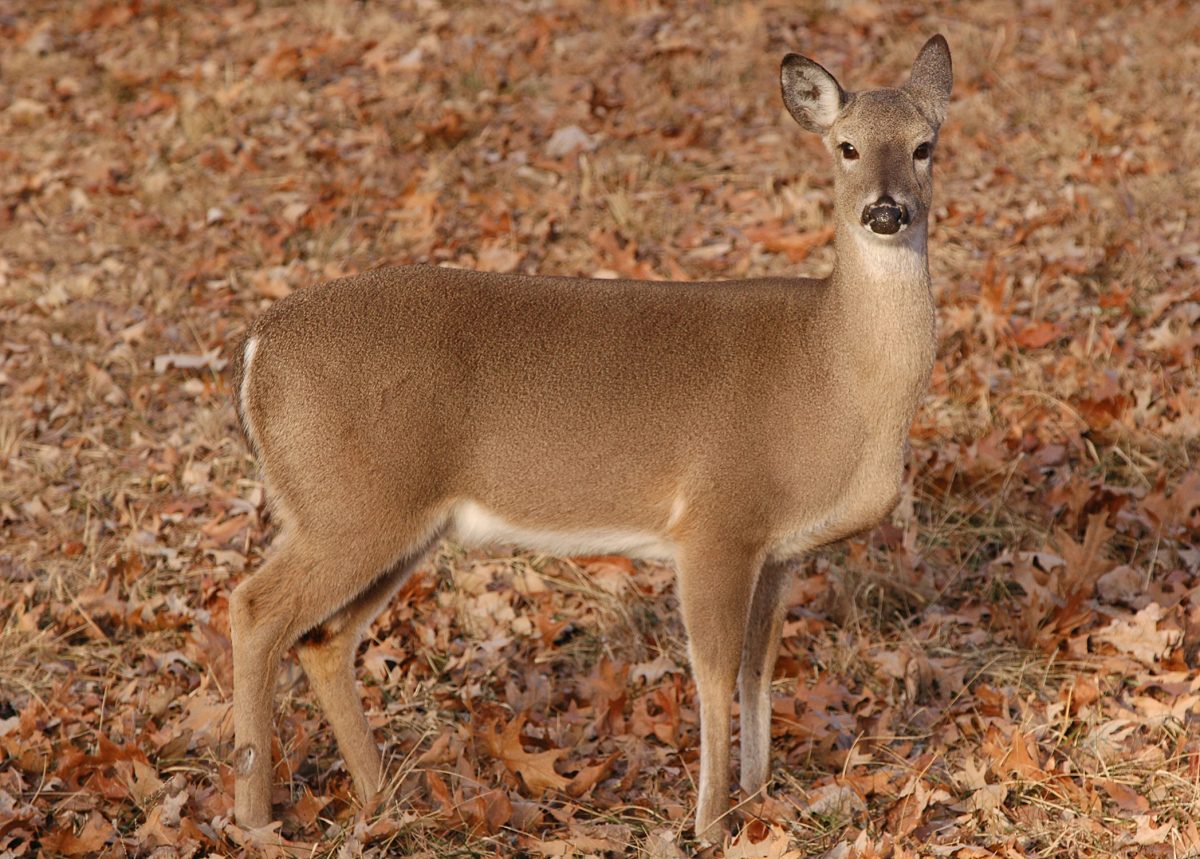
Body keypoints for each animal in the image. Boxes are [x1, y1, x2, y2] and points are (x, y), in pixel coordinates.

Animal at [228, 35, 952, 840]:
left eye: (924, 145)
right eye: (846, 146)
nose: (886, 210)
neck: (832, 373)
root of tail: (257, 347)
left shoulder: (780, 547)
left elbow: (758, 667)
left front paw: (759, 799)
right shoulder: (716, 519)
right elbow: (712, 671)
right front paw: (710, 824)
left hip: (391, 519)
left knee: (324, 637)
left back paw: (383, 799)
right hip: (351, 504)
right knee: (255, 611)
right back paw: (255, 817)